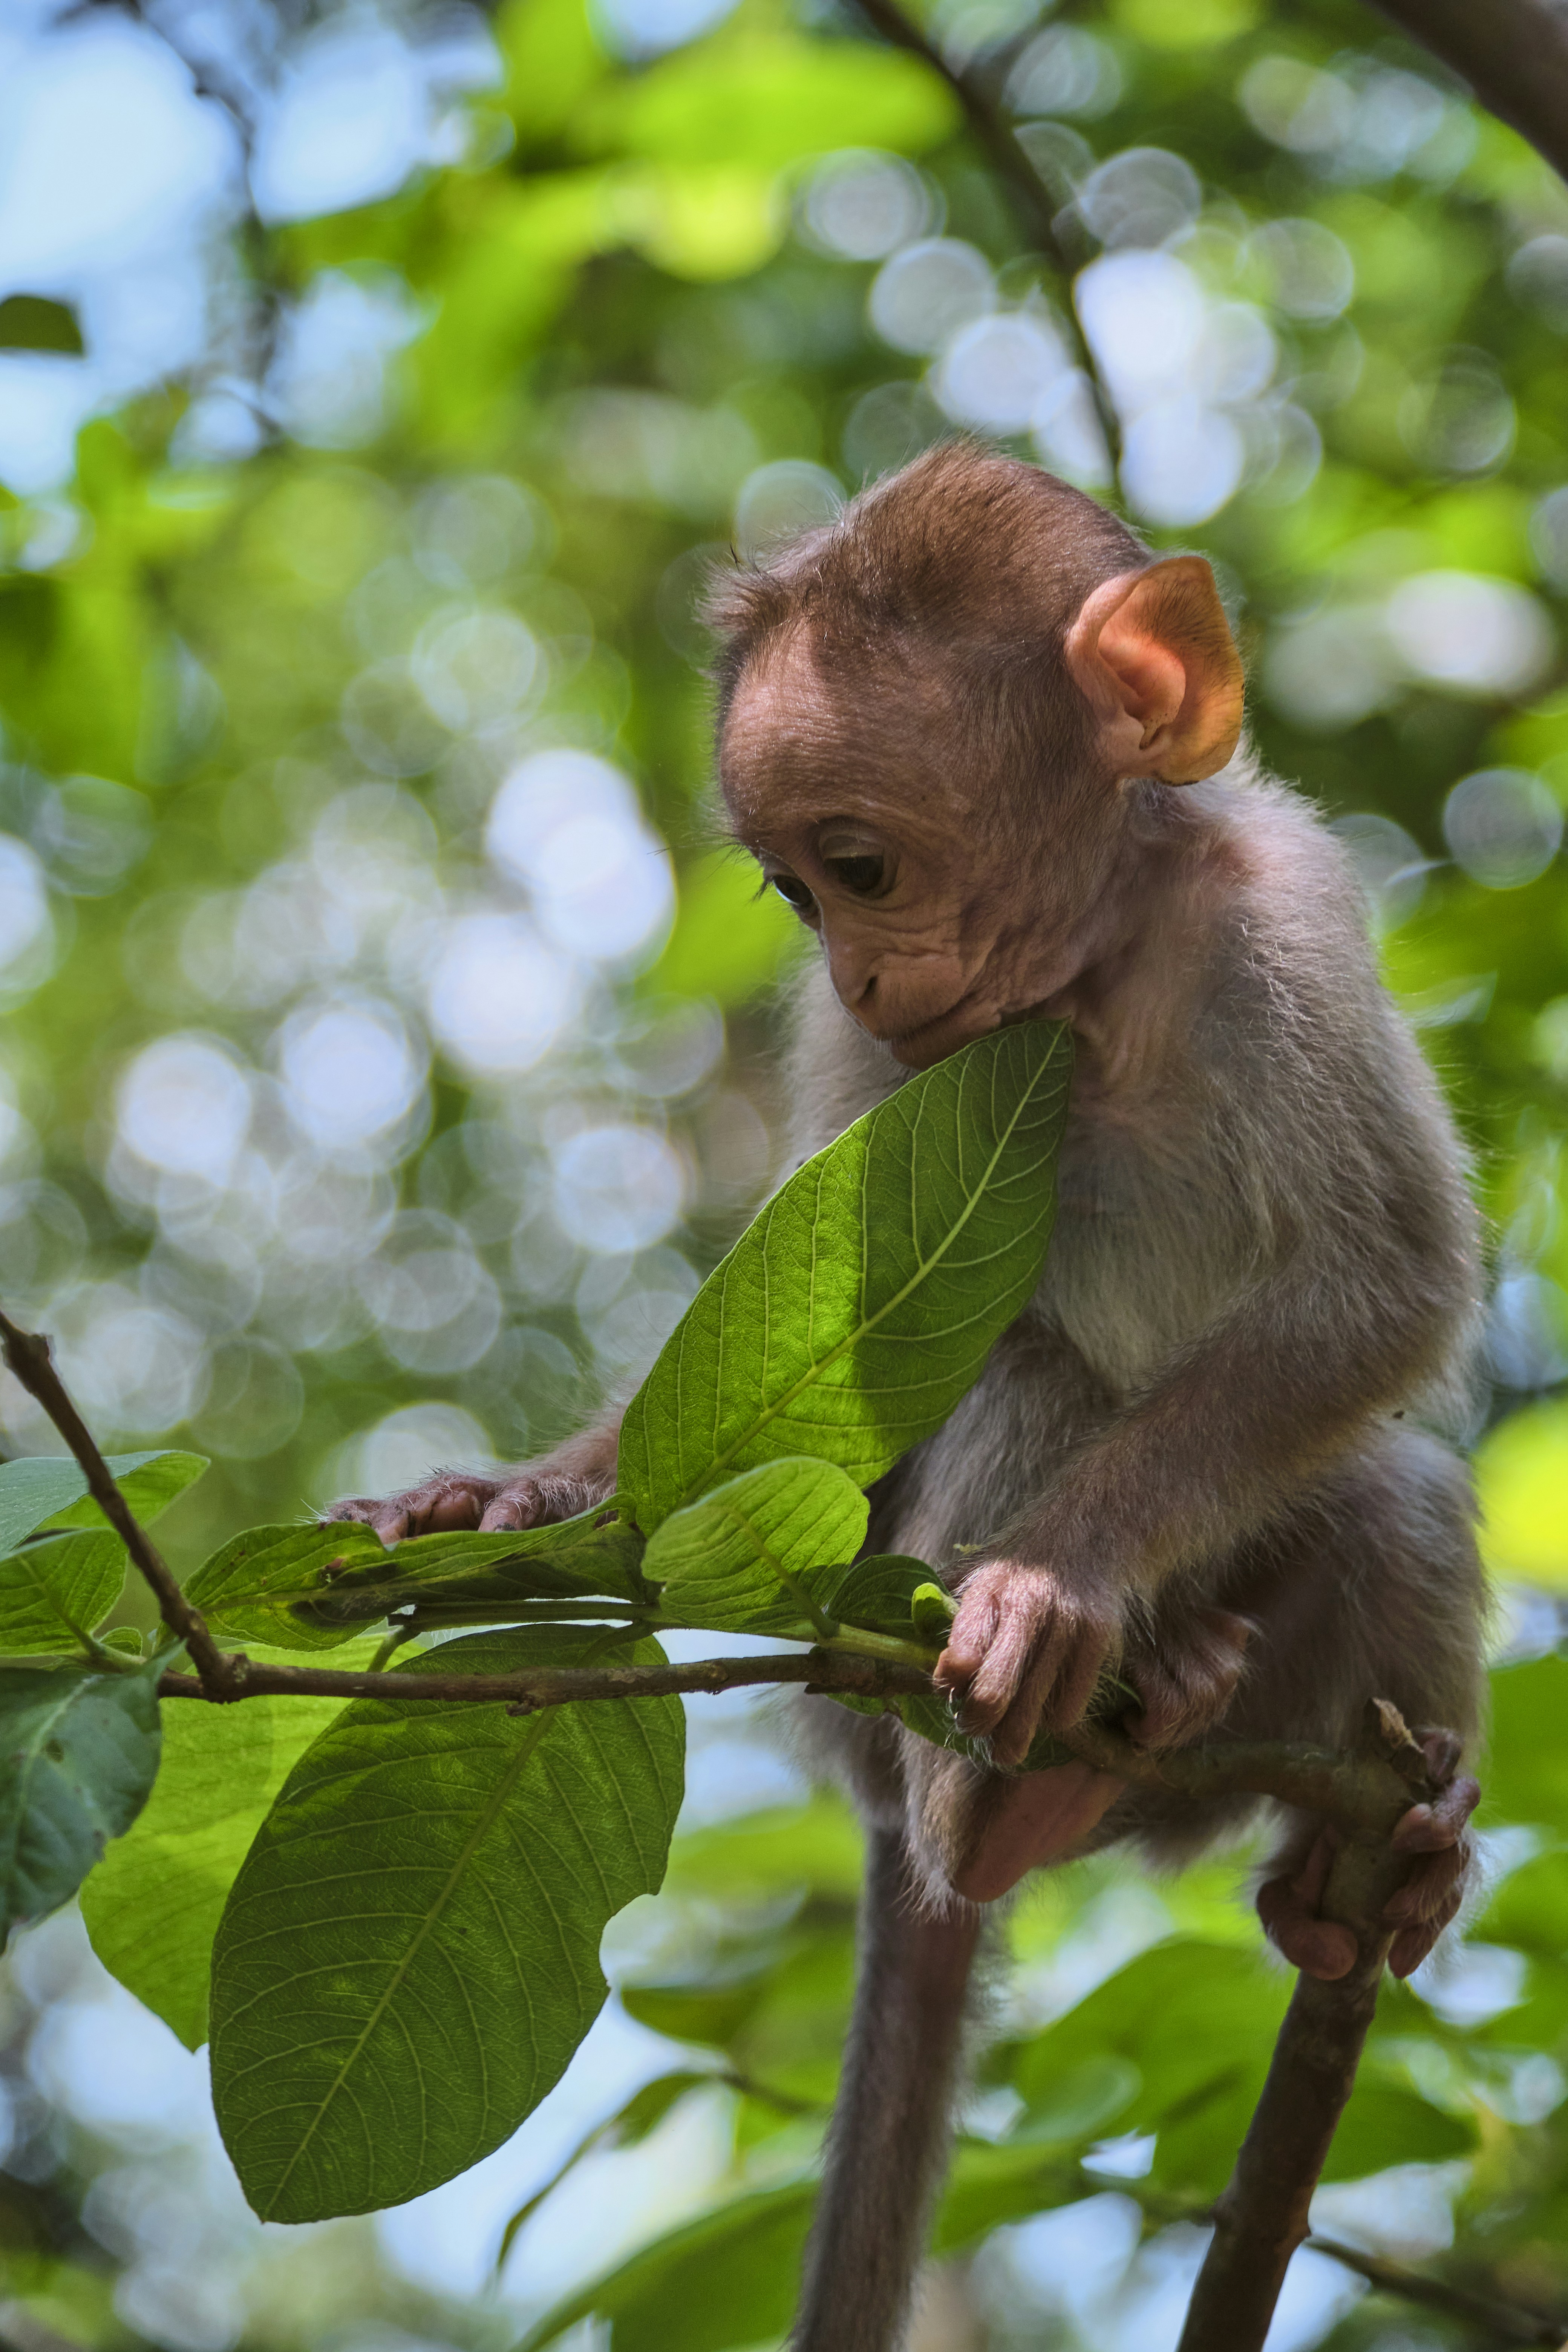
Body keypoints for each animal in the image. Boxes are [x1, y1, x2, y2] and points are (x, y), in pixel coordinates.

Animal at [328, 446, 1487, 2352]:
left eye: (860, 862)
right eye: (800, 897)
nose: (865, 969)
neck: (1089, 987)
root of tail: (876, 1793)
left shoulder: (1280, 913)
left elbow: (1381, 1285)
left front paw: (1055, 1579)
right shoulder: (891, 1066)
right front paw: (521, 1497)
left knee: (1389, 1497)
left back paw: (1346, 1862)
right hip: (872, 1720)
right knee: (1029, 1371)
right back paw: (1031, 1796)